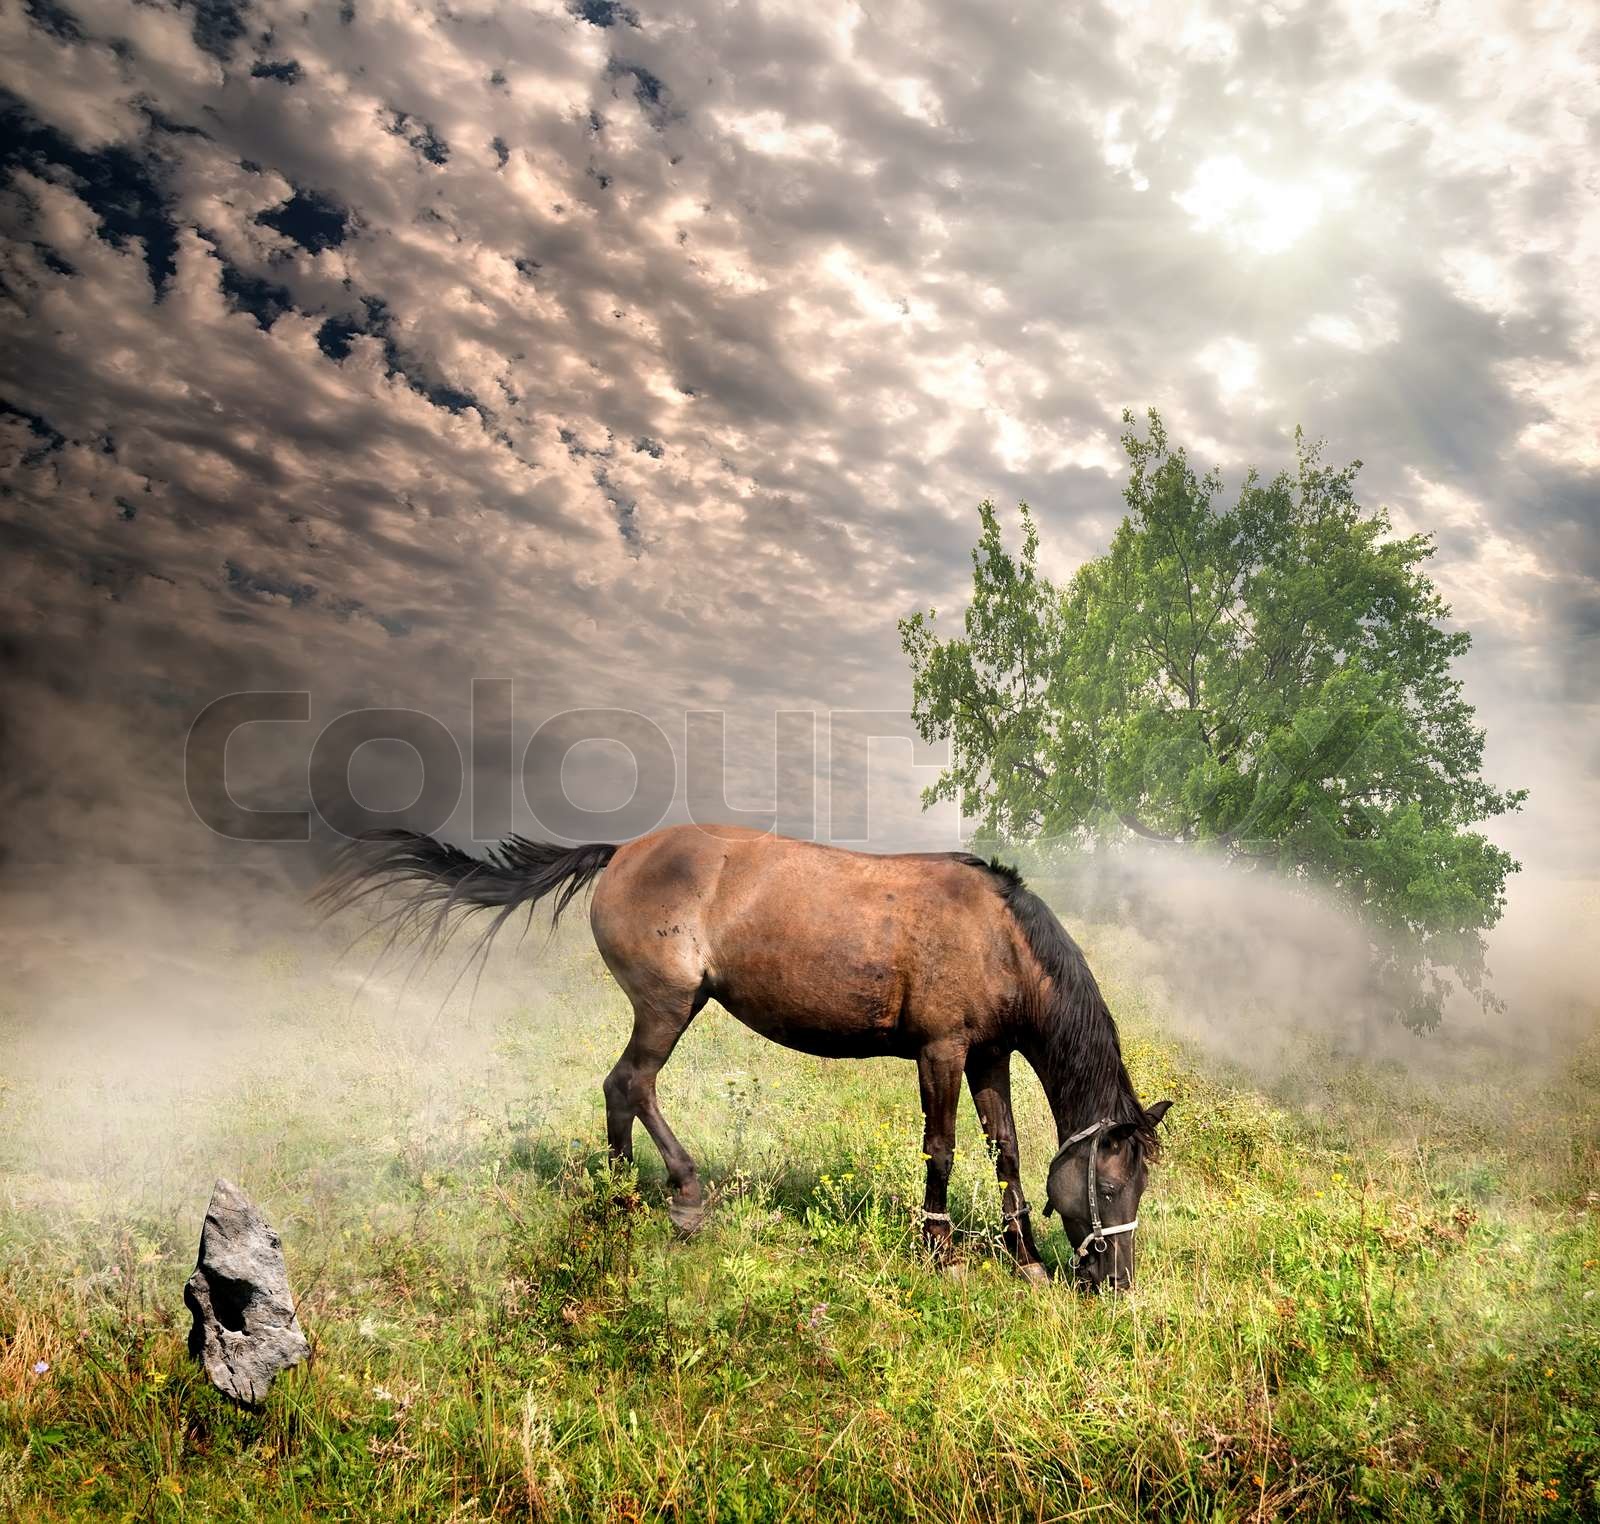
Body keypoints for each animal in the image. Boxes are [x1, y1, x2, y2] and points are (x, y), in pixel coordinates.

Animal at [317, 824, 1173, 1289]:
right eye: (1109, 1183)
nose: (1115, 1284)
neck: (999, 934)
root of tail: (623, 852)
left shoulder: (989, 1054)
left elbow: (1008, 1152)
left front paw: (1023, 1257)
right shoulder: (941, 1052)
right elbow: (942, 1147)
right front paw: (941, 1249)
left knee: (620, 1090)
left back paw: (625, 1195)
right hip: (666, 1006)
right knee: (630, 1084)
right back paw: (679, 1196)